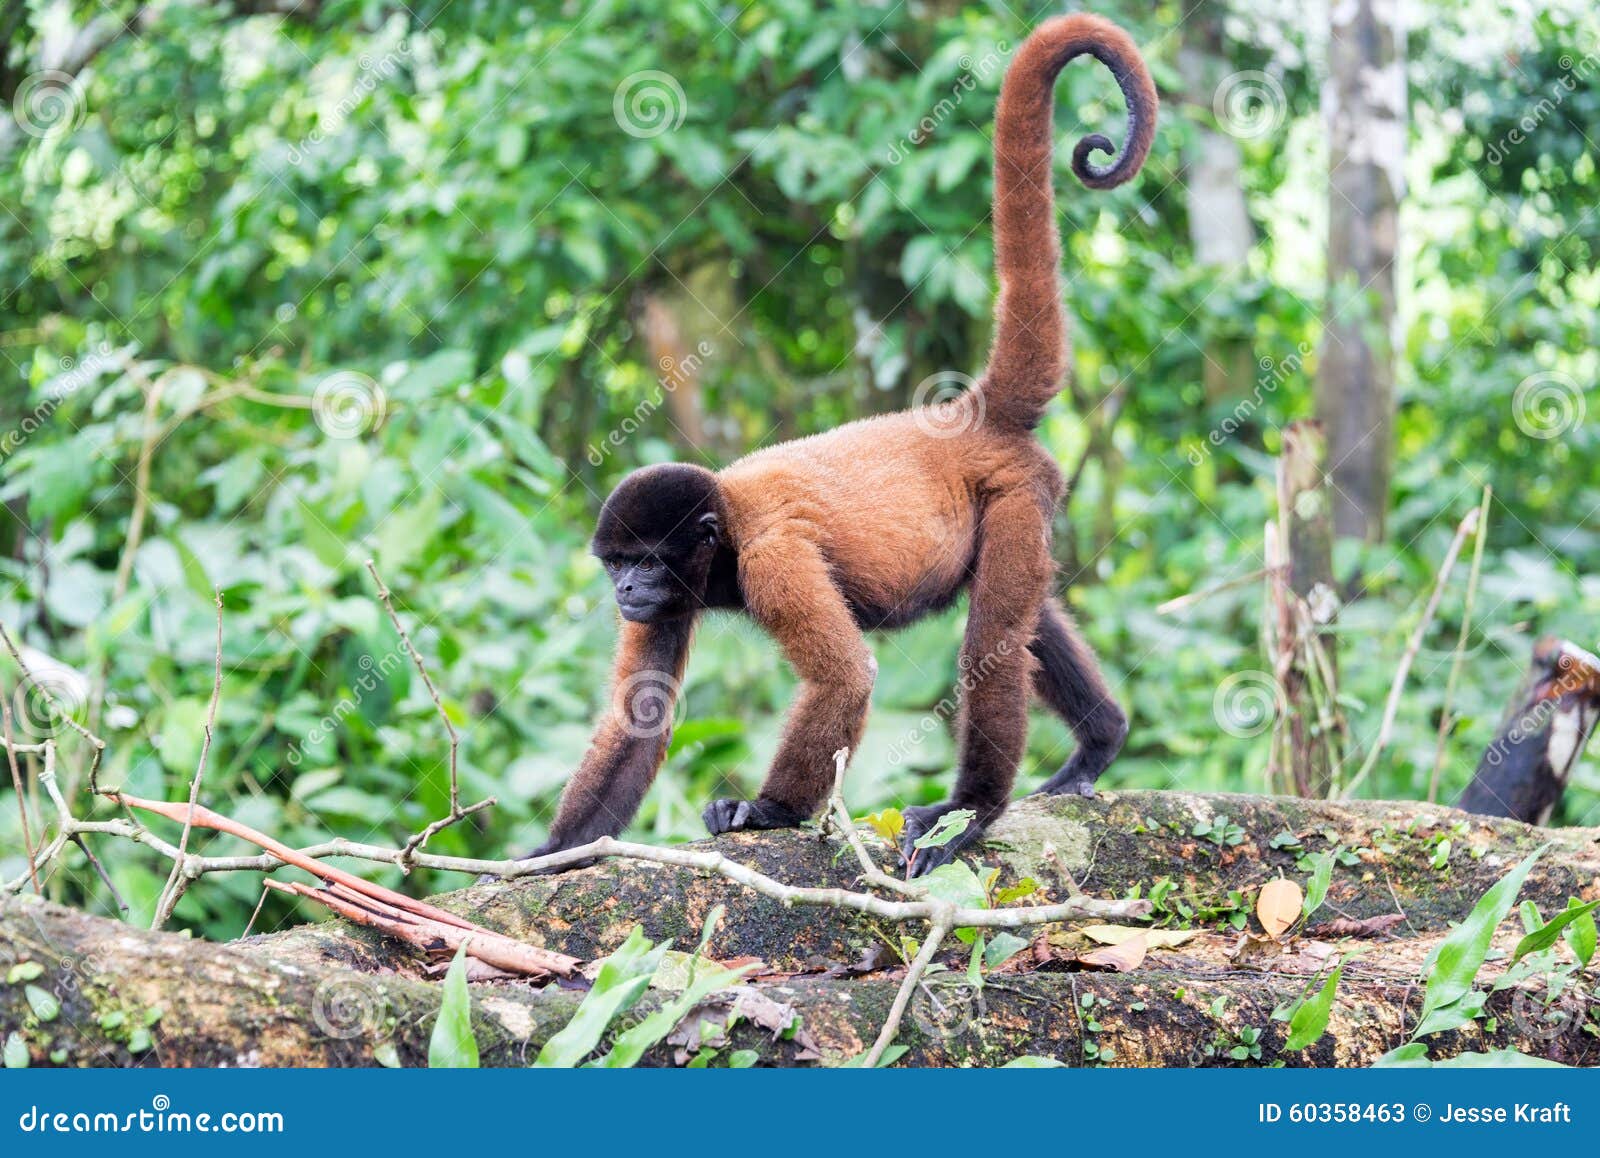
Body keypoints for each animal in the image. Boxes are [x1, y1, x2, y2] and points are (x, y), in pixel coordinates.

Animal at [518, 13, 1157, 877]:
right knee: (1026, 620)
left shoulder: (772, 558)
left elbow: (846, 677)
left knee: (990, 641)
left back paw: (968, 812)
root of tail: (971, 413)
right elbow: (640, 711)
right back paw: (1100, 743)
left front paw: (766, 811)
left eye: (645, 560)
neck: (724, 530)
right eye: (617, 565)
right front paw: (551, 853)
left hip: (1017, 494)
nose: (624, 591)